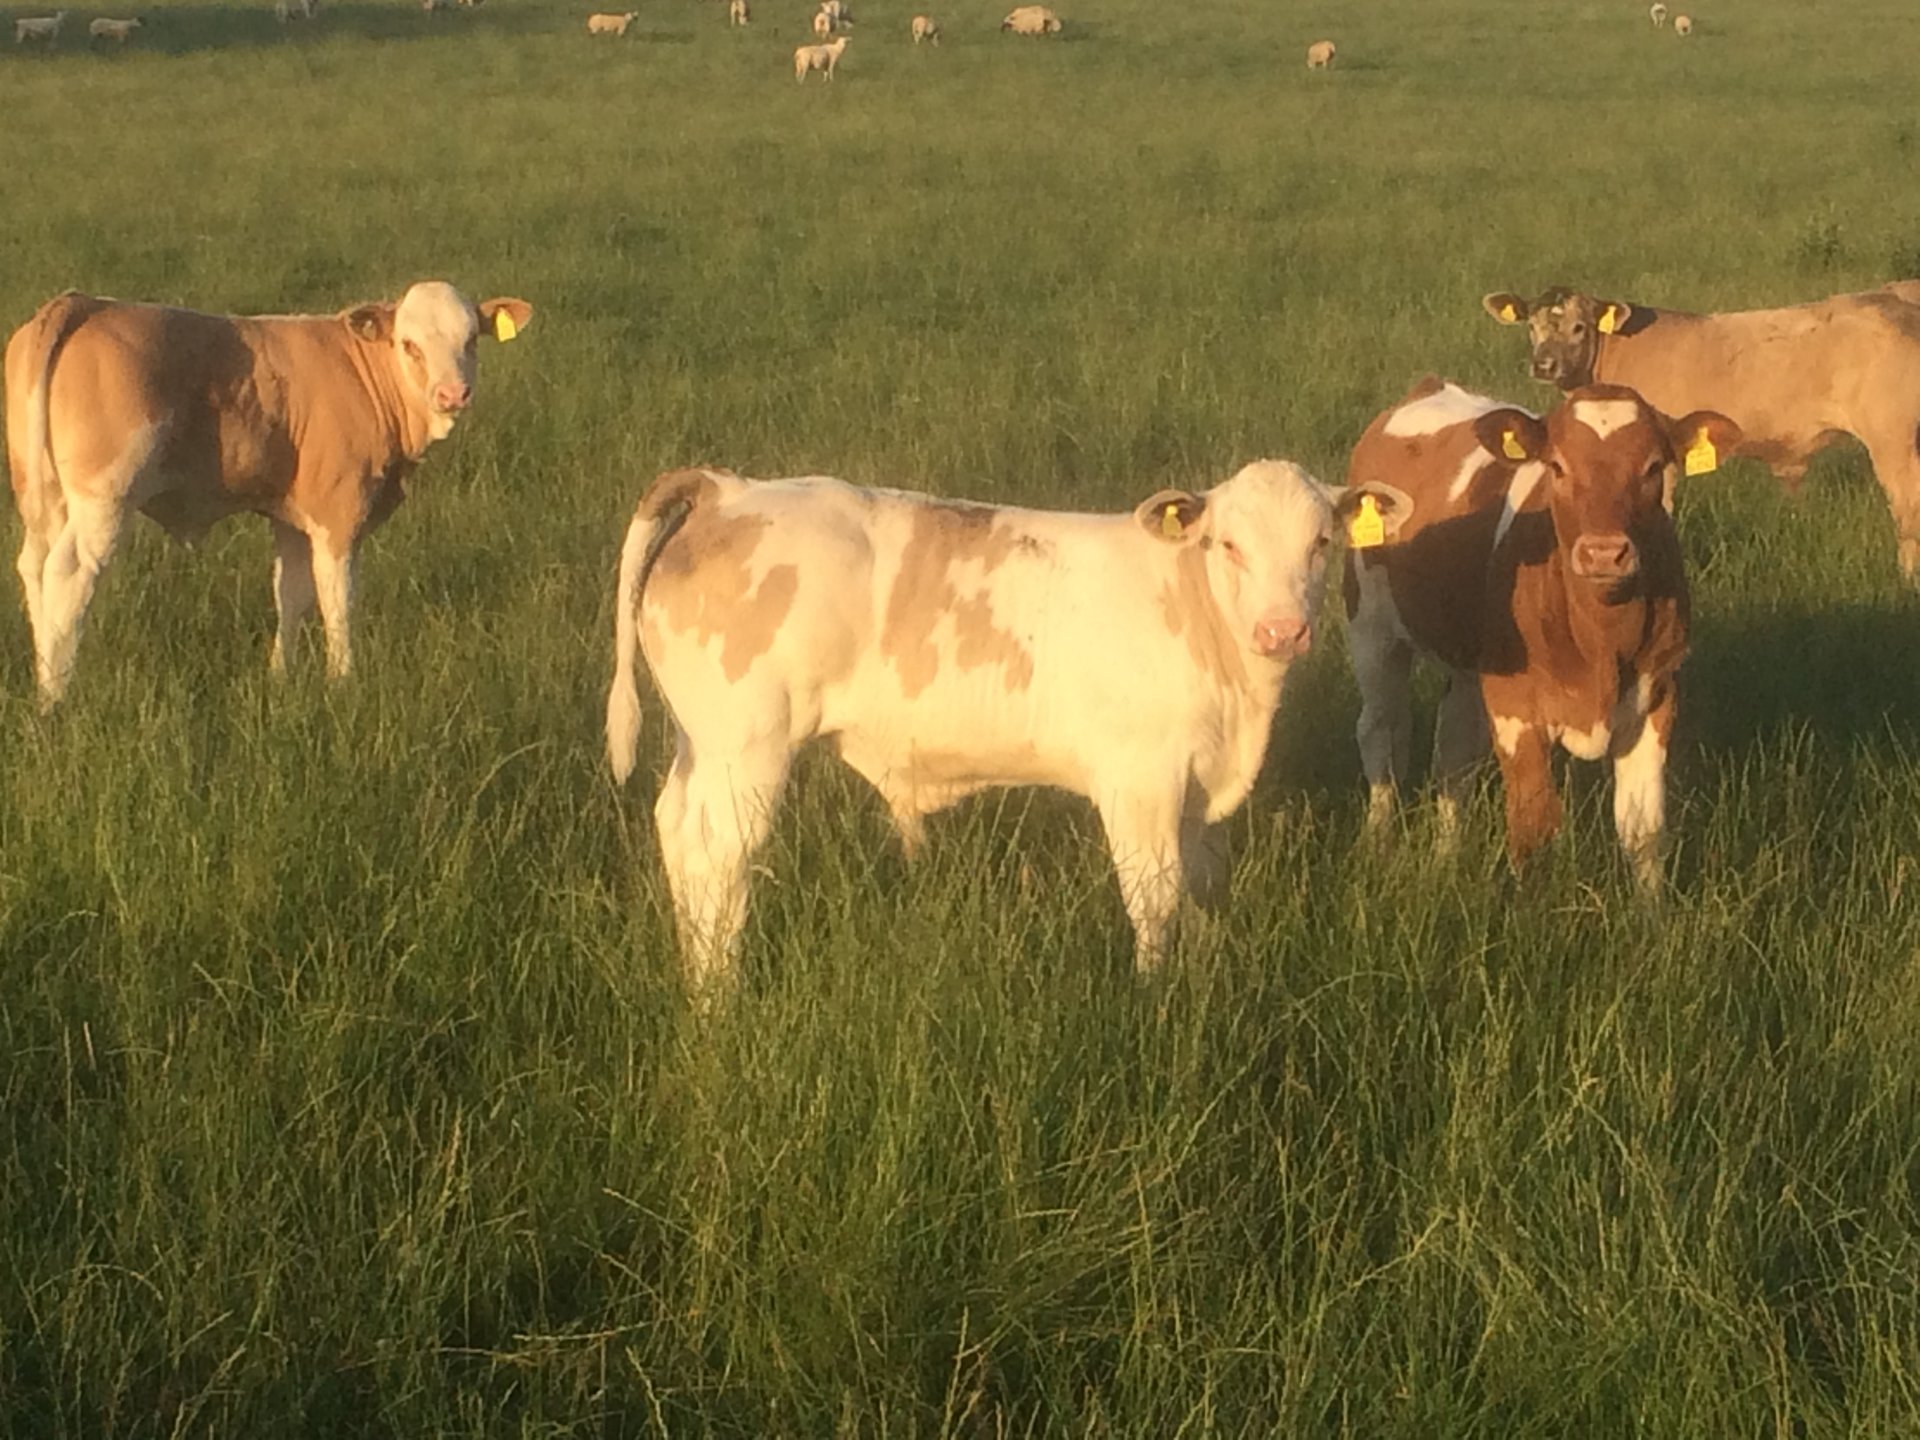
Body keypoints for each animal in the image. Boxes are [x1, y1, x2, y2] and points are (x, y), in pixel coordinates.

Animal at [3, 282, 533, 709]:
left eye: (471, 339)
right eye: (410, 345)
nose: (452, 394)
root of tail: (85, 303)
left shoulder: (293, 514)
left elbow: (291, 592)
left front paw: (282, 676)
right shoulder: (339, 513)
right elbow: (338, 599)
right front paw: (343, 682)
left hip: (45, 494)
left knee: (34, 566)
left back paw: (42, 679)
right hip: (105, 498)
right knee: (67, 573)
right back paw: (56, 699)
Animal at [605, 461, 1391, 994]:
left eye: (1322, 542)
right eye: (1228, 545)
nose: (1281, 629)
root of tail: (730, 488)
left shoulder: (1198, 790)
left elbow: (1202, 887)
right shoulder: (1140, 780)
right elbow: (1155, 896)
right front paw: (1152, 999)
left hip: (703, 744)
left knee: (676, 831)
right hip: (748, 747)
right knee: (718, 858)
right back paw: (719, 996)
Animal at [1343, 377, 1740, 888]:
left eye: (1654, 467)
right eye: (1557, 466)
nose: (1603, 553)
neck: (1601, 640)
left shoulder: (1657, 695)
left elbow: (1643, 829)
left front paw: (1653, 908)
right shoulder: (1517, 707)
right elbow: (1534, 825)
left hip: (1470, 665)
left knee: (1453, 750)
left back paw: (1445, 857)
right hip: (1372, 632)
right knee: (1382, 731)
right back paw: (1380, 842)